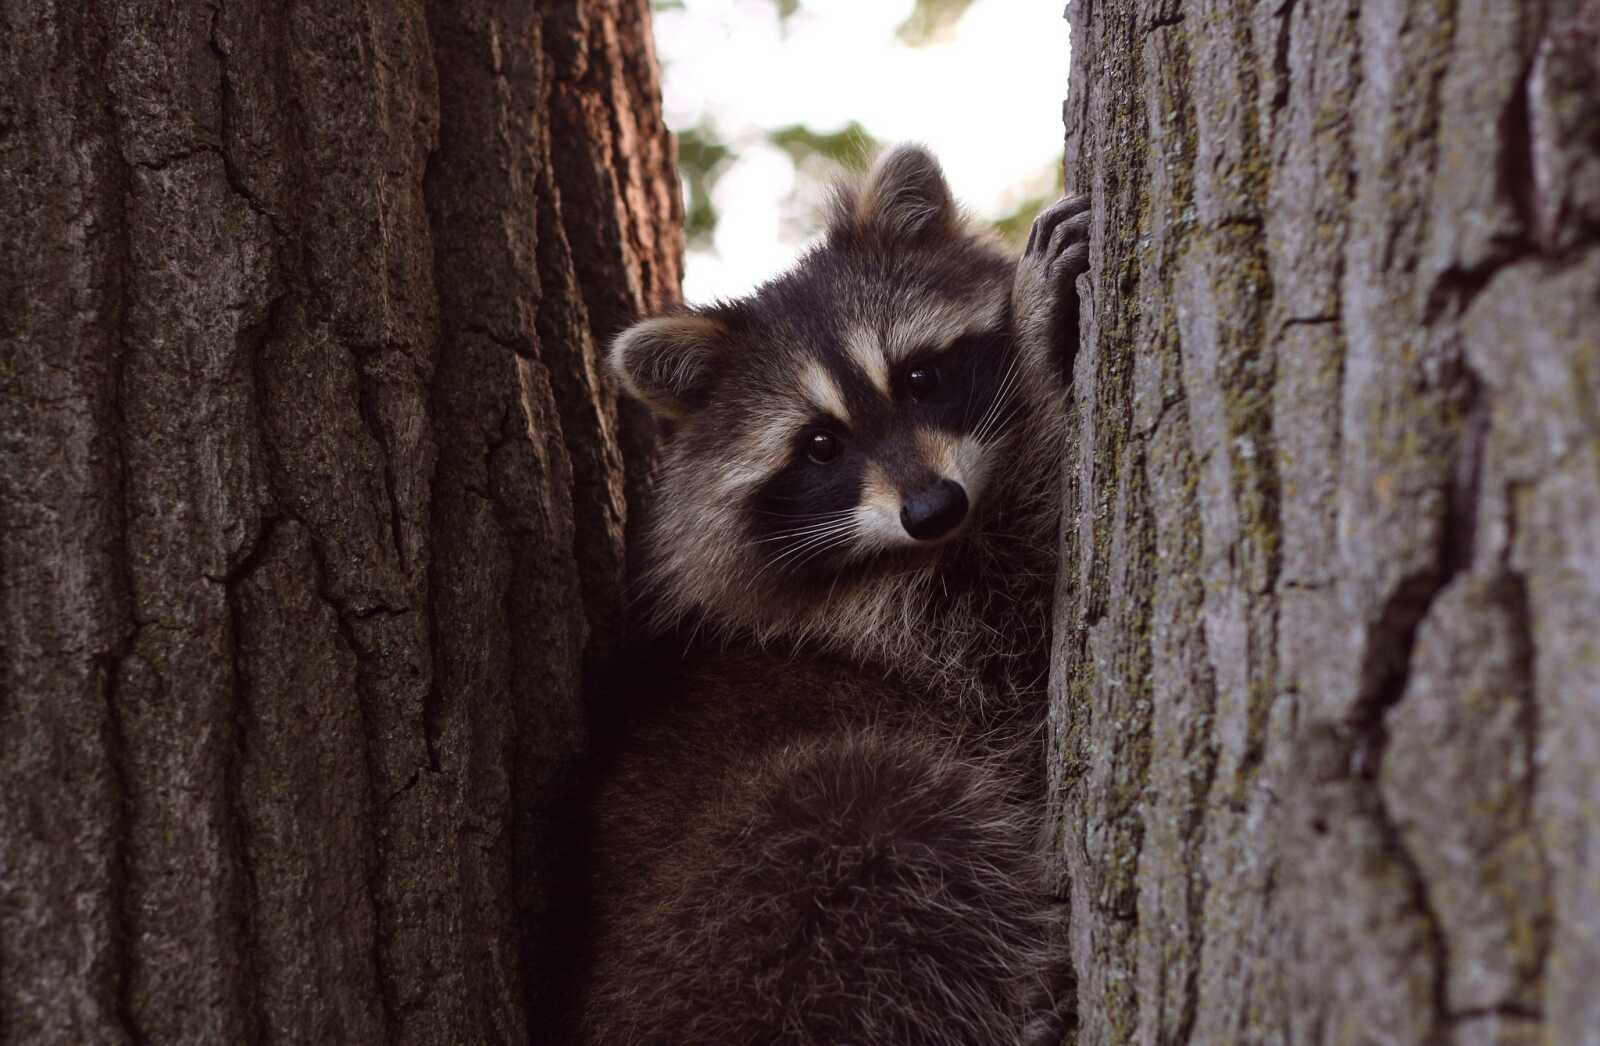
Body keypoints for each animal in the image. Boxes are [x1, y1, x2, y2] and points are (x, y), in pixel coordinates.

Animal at [581, 145, 1090, 1045]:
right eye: (820, 445)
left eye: (921, 377)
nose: (934, 509)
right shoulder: (923, 633)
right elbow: (1024, 625)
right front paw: (1036, 362)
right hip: (744, 922)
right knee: (877, 816)